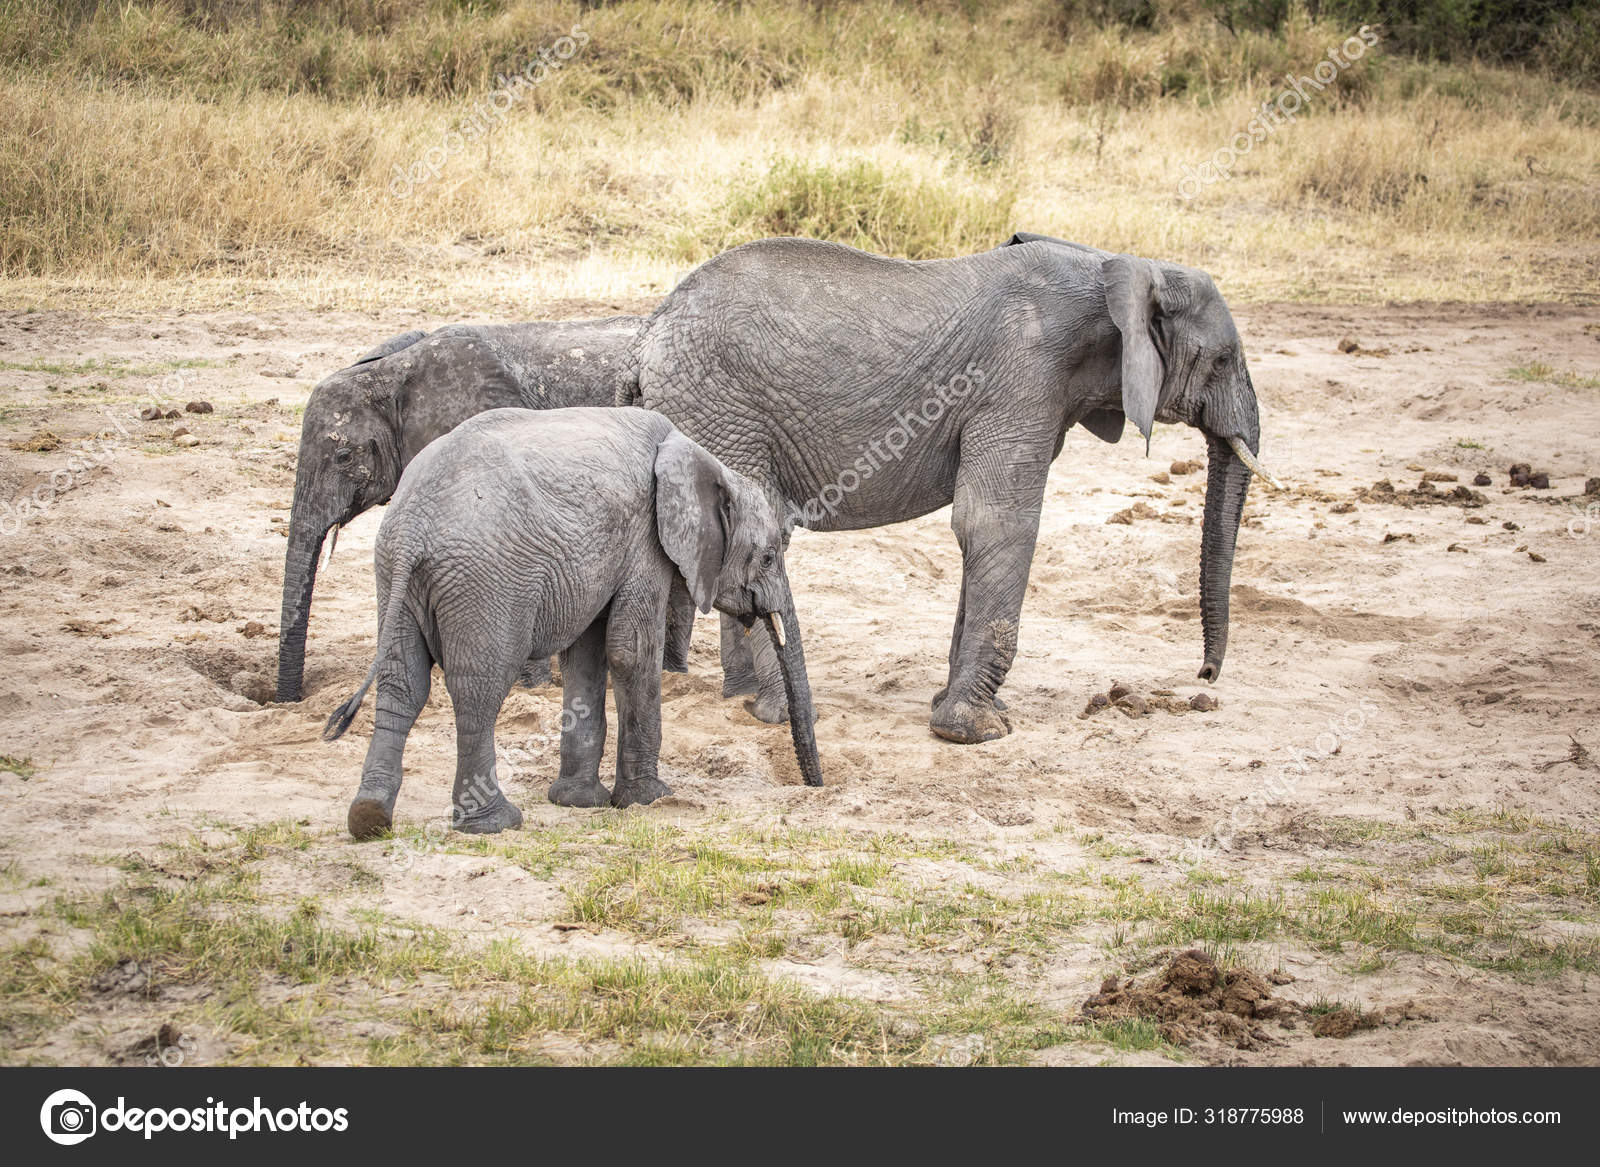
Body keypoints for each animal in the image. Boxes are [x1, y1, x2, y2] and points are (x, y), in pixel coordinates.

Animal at [323, 406, 823, 837]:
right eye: (768, 556)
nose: (815, 787)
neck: (708, 462)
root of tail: (412, 527)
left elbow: (586, 656)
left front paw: (578, 801)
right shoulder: (645, 542)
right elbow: (629, 650)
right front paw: (650, 799)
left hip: (395, 578)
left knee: (402, 684)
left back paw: (369, 819)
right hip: (485, 583)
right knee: (478, 689)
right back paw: (495, 823)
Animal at [629, 232, 1279, 744]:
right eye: (1223, 359)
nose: (1204, 677)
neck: (1119, 268)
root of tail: (651, 328)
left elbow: (981, 530)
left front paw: (962, 709)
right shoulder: (1023, 376)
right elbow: (995, 522)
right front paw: (975, 731)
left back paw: (739, 699)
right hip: (720, 407)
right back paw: (780, 712)